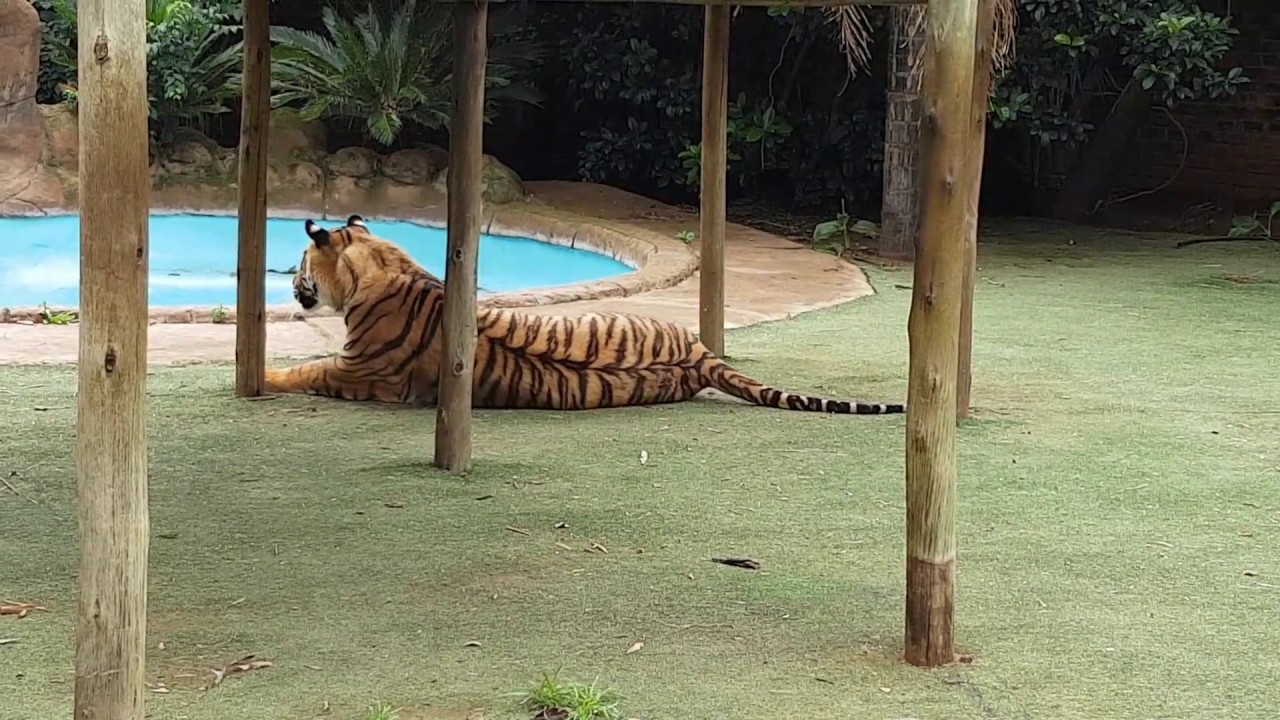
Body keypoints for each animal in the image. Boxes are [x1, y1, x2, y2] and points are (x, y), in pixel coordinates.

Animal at [263, 215, 905, 415]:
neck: (384, 264)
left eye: (302, 262)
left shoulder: (356, 371)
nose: (290, 282)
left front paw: (264, 375)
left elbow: (305, 370)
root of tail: (699, 354)